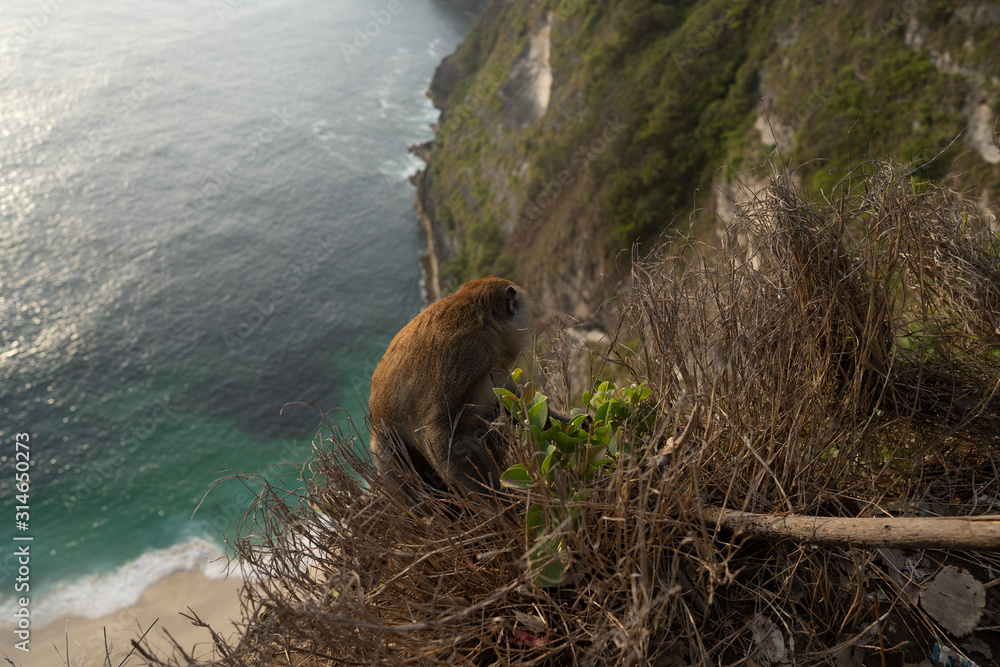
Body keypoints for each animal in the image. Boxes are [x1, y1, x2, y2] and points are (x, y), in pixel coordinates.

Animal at [368, 275, 532, 504]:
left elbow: (510, 400)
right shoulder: (467, 356)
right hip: (386, 448)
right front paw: (503, 503)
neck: (485, 321)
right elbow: (441, 435)